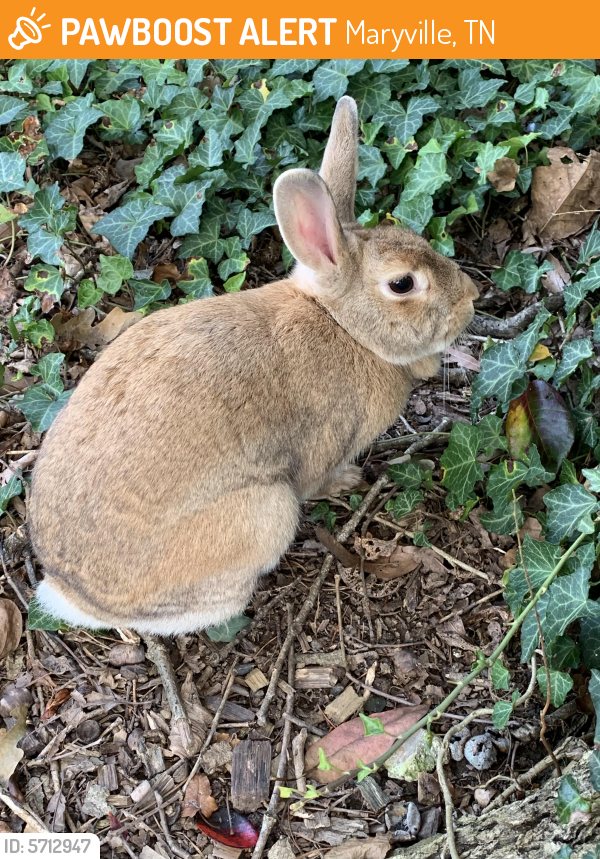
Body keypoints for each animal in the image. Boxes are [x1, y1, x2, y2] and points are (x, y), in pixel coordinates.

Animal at [29, 95, 479, 636]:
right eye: (402, 284)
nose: (472, 298)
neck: (343, 326)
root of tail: (75, 596)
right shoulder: (324, 445)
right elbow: (317, 478)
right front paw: (346, 482)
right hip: (267, 514)